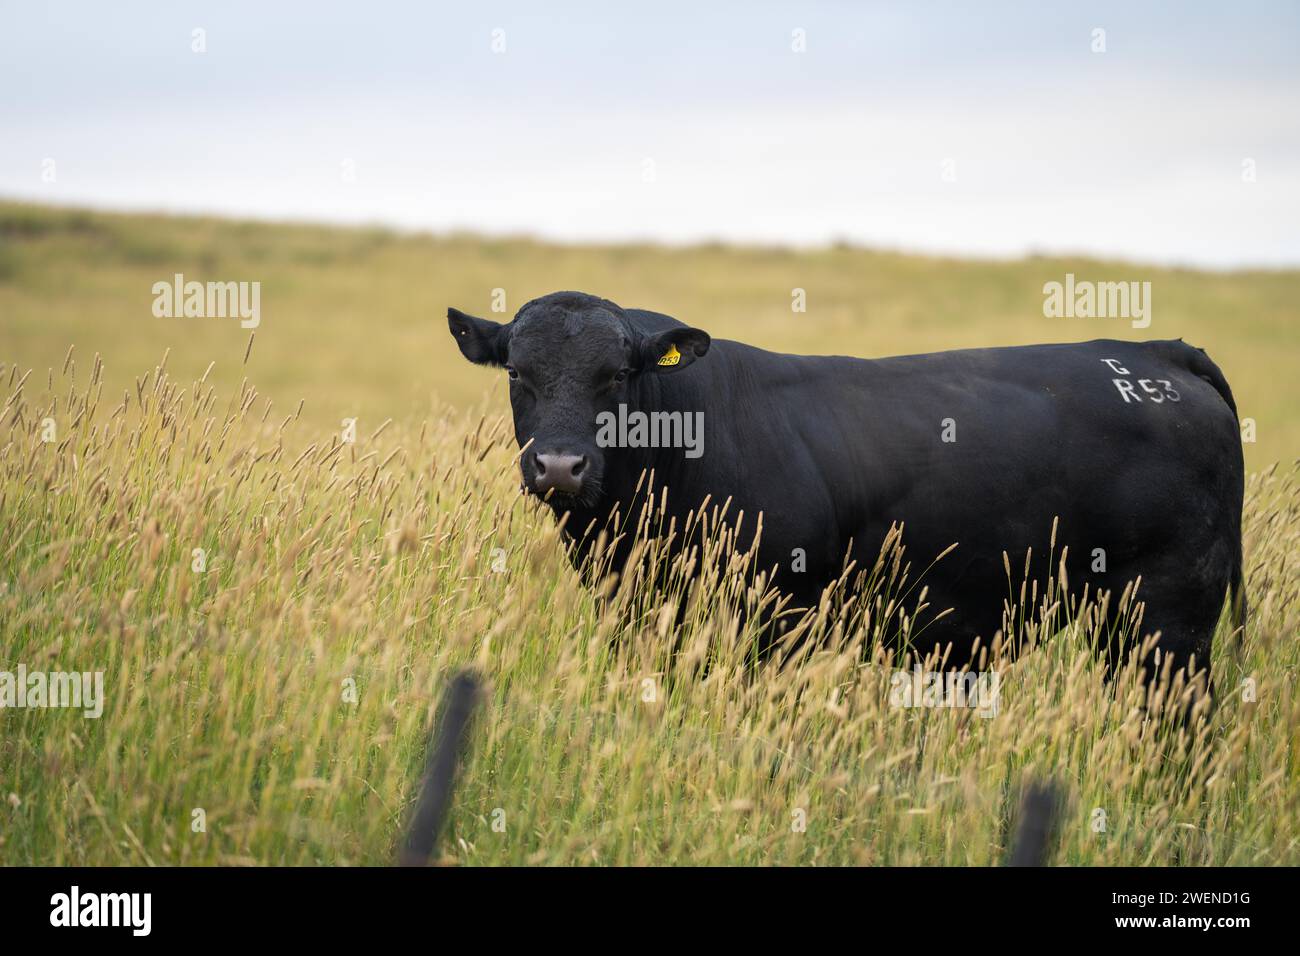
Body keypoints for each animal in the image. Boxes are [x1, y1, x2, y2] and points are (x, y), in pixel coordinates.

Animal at [448, 291, 1245, 700]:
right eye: (516, 372)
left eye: (616, 375)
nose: (559, 466)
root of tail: (1150, 353)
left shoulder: (777, 615)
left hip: (1169, 616)